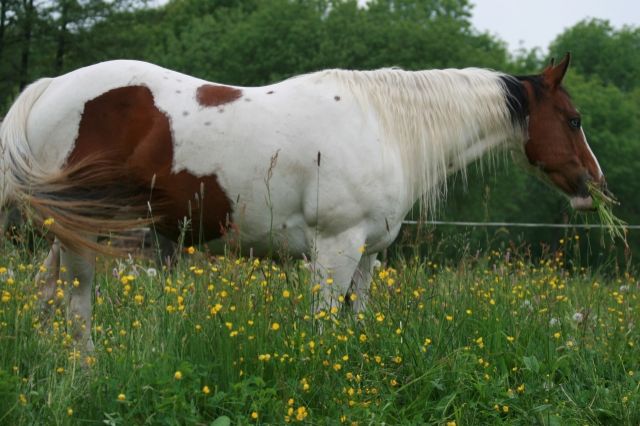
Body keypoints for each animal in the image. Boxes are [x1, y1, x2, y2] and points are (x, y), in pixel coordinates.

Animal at [0, 53, 605, 350]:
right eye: (574, 120)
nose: (594, 185)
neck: (385, 127)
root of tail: (49, 87)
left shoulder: (366, 255)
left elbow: (354, 324)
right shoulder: (335, 250)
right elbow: (323, 328)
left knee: (48, 296)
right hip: (85, 233)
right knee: (78, 304)